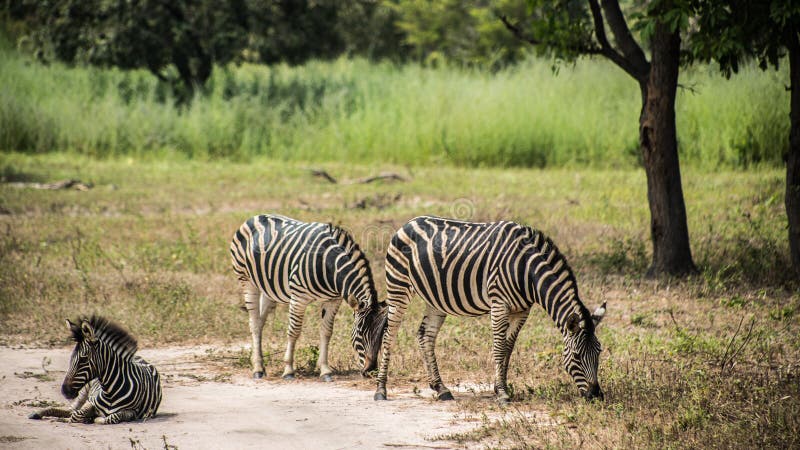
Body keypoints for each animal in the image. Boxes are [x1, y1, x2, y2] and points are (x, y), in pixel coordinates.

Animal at [29, 316, 162, 424]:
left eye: (83, 359)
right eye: (71, 358)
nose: (64, 391)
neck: (110, 391)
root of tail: (138, 357)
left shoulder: (133, 412)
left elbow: (111, 418)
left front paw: (95, 418)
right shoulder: (90, 402)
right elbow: (77, 414)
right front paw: (86, 417)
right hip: (84, 391)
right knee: (70, 410)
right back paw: (37, 413)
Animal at [230, 214, 388, 381]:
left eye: (380, 336)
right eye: (359, 333)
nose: (371, 371)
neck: (329, 265)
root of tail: (256, 216)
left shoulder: (333, 300)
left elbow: (326, 332)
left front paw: (325, 370)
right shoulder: (299, 298)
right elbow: (294, 332)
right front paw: (288, 370)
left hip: (268, 289)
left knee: (260, 323)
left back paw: (260, 366)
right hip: (247, 281)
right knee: (254, 323)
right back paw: (258, 369)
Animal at [373, 216, 606, 403]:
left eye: (599, 352)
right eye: (576, 356)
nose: (596, 396)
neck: (527, 270)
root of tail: (409, 222)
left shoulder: (522, 311)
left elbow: (508, 347)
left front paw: (500, 386)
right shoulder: (499, 305)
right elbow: (499, 347)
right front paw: (502, 393)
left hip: (435, 298)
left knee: (425, 336)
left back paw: (441, 389)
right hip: (398, 288)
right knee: (389, 335)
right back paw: (381, 389)